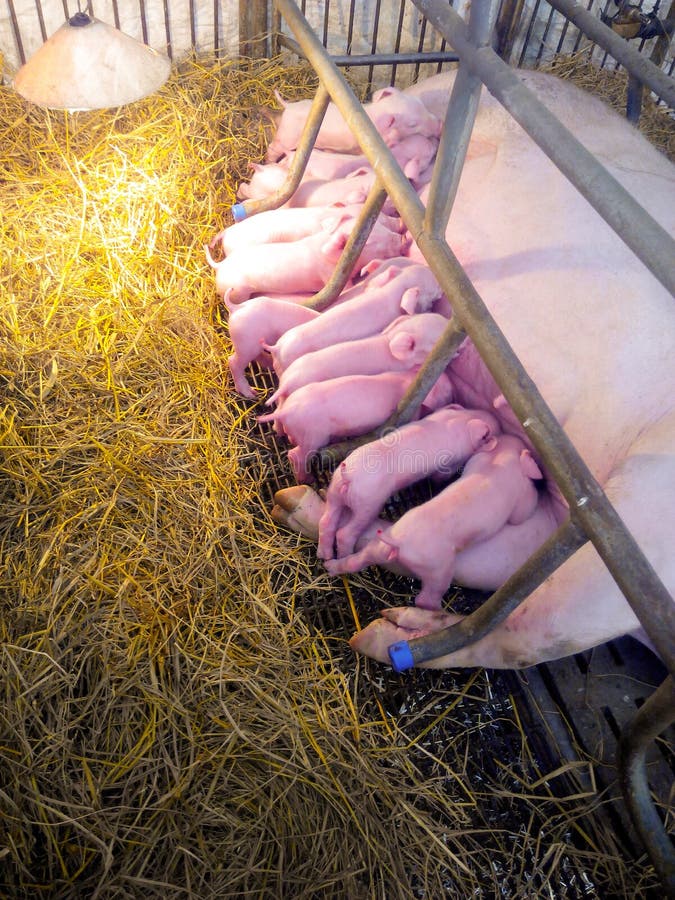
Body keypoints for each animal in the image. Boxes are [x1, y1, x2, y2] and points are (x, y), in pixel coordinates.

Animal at [257, 370, 454, 484]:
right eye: (446, 391)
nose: (454, 397)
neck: (408, 380)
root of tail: (288, 411)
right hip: (312, 436)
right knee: (295, 455)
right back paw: (308, 479)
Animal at [266, 86, 441, 162]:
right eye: (413, 124)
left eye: (422, 104)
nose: (440, 124)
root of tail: (289, 106)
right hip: (288, 136)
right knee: (272, 147)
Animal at [317, 404, 502, 560]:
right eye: (489, 433)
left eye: (477, 409)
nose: (495, 417)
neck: (458, 421)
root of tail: (348, 476)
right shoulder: (451, 463)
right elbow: (440, 476)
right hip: (367, 504)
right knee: (345, 533)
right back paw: (343, 556)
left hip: (334, 491)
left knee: (326, 521)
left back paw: (324, 556)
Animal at [324, 435, 543, 609]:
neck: (500, 459)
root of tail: (399, 541)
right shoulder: (520, 495)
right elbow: (521, 514)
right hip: (438, 570)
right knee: (425, 599)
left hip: (376, 545)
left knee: (355, 559)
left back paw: (330, 565)